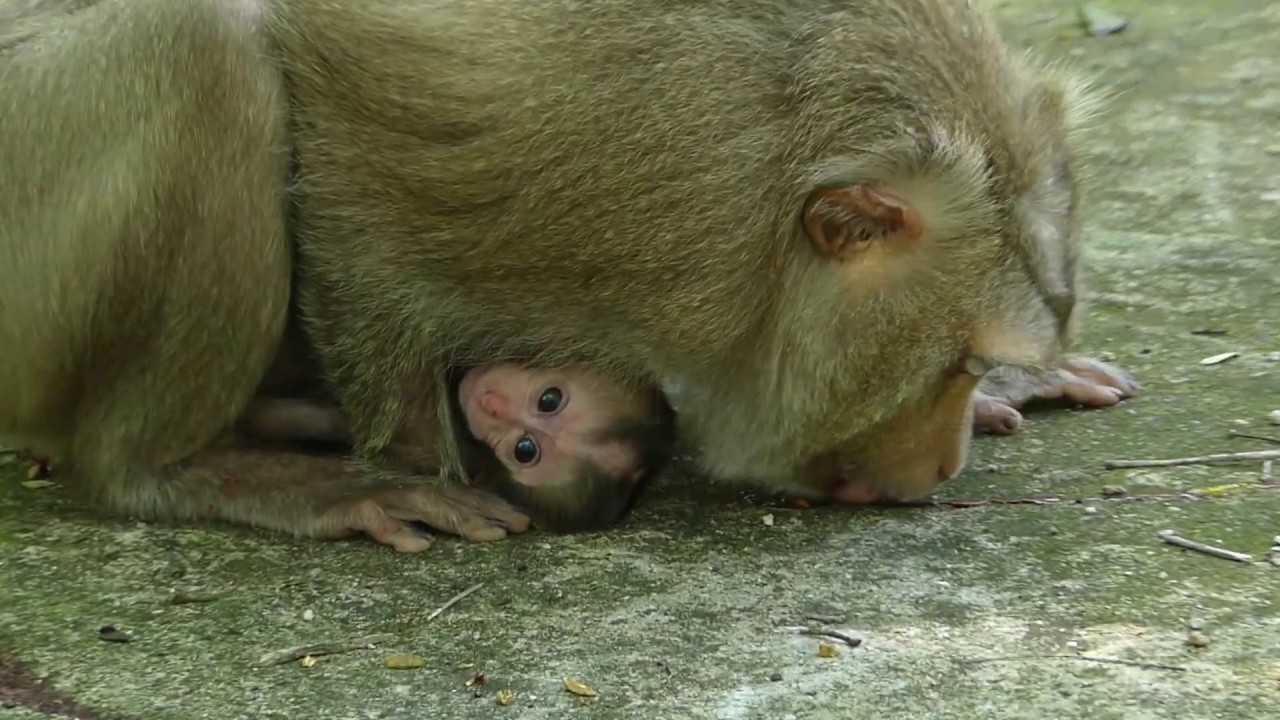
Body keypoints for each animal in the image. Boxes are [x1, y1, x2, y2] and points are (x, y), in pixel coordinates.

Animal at [1, 0, 1135, 546]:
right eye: (948, 360)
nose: (940, 463)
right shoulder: (605, 144)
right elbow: (349, 158)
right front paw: (428, 462)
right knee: (205, 36)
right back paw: (168, 466)